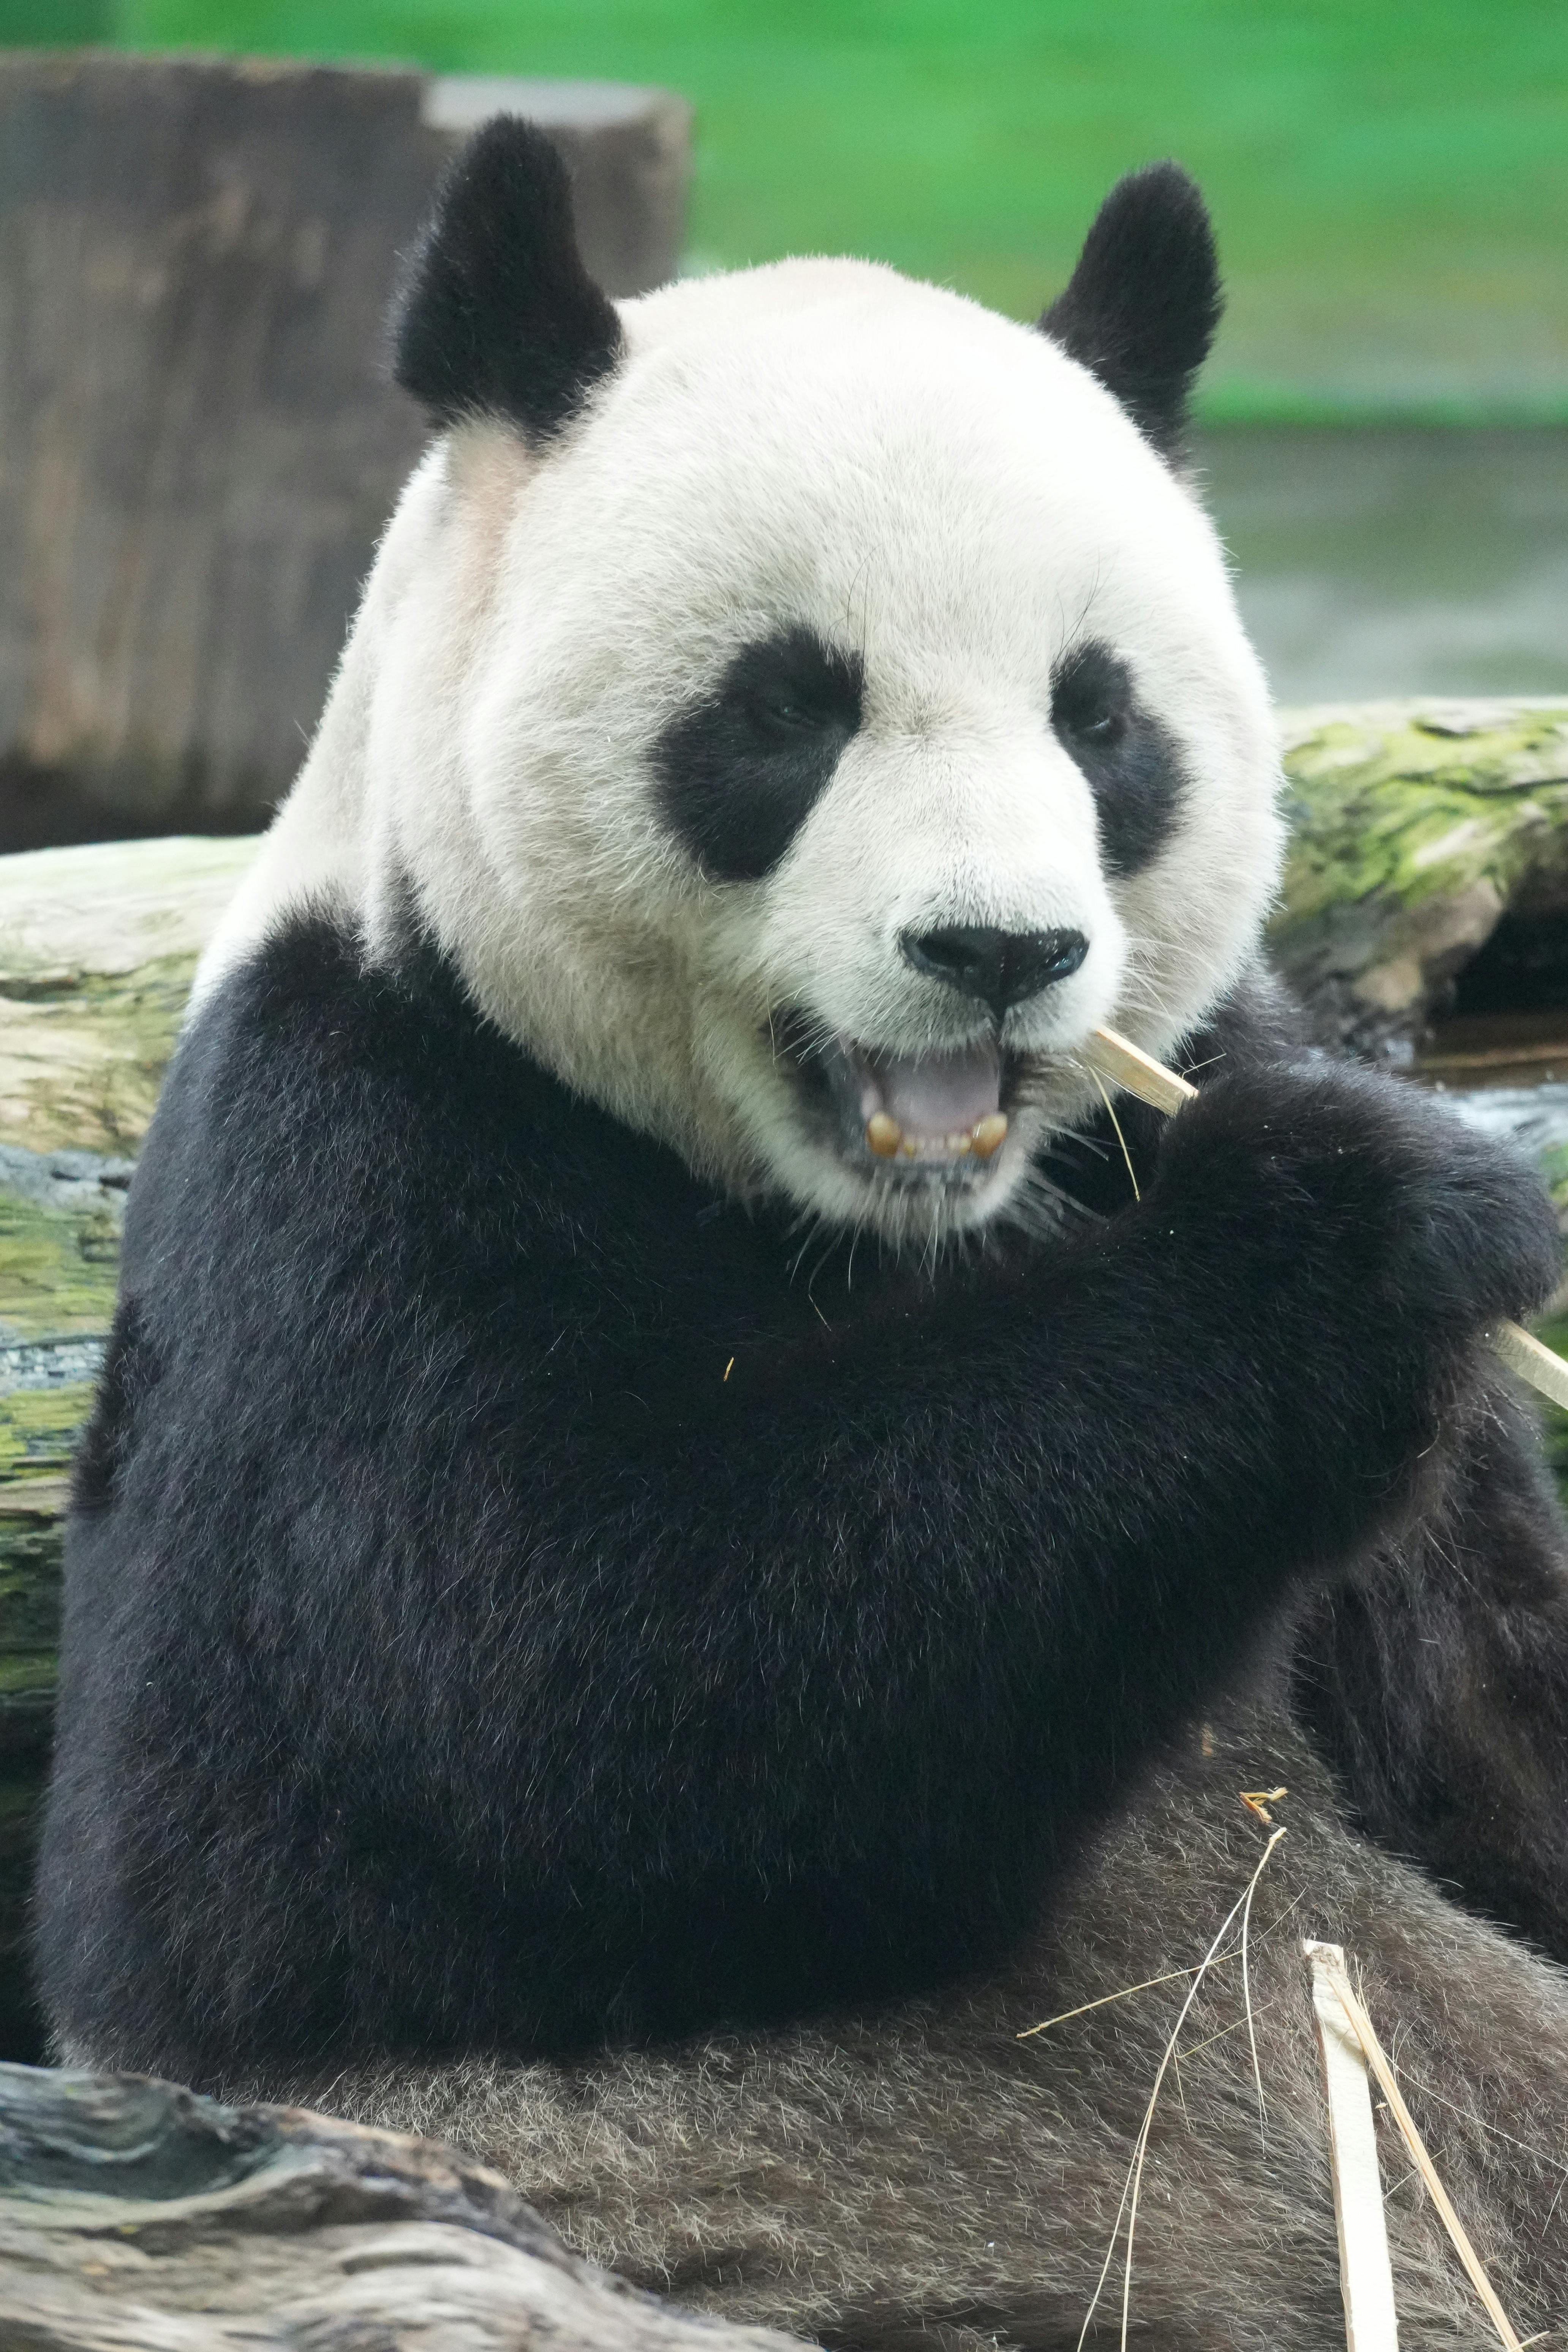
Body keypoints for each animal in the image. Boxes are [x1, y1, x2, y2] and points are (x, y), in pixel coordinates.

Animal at [36, 119, 1568, 2345]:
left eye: (1098, 718)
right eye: (784, 709)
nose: (999, 953)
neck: (887, 1228)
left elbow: (1495, 1738)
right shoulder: (348, 1180)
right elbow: (566, 1722)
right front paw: (1356, 1223)